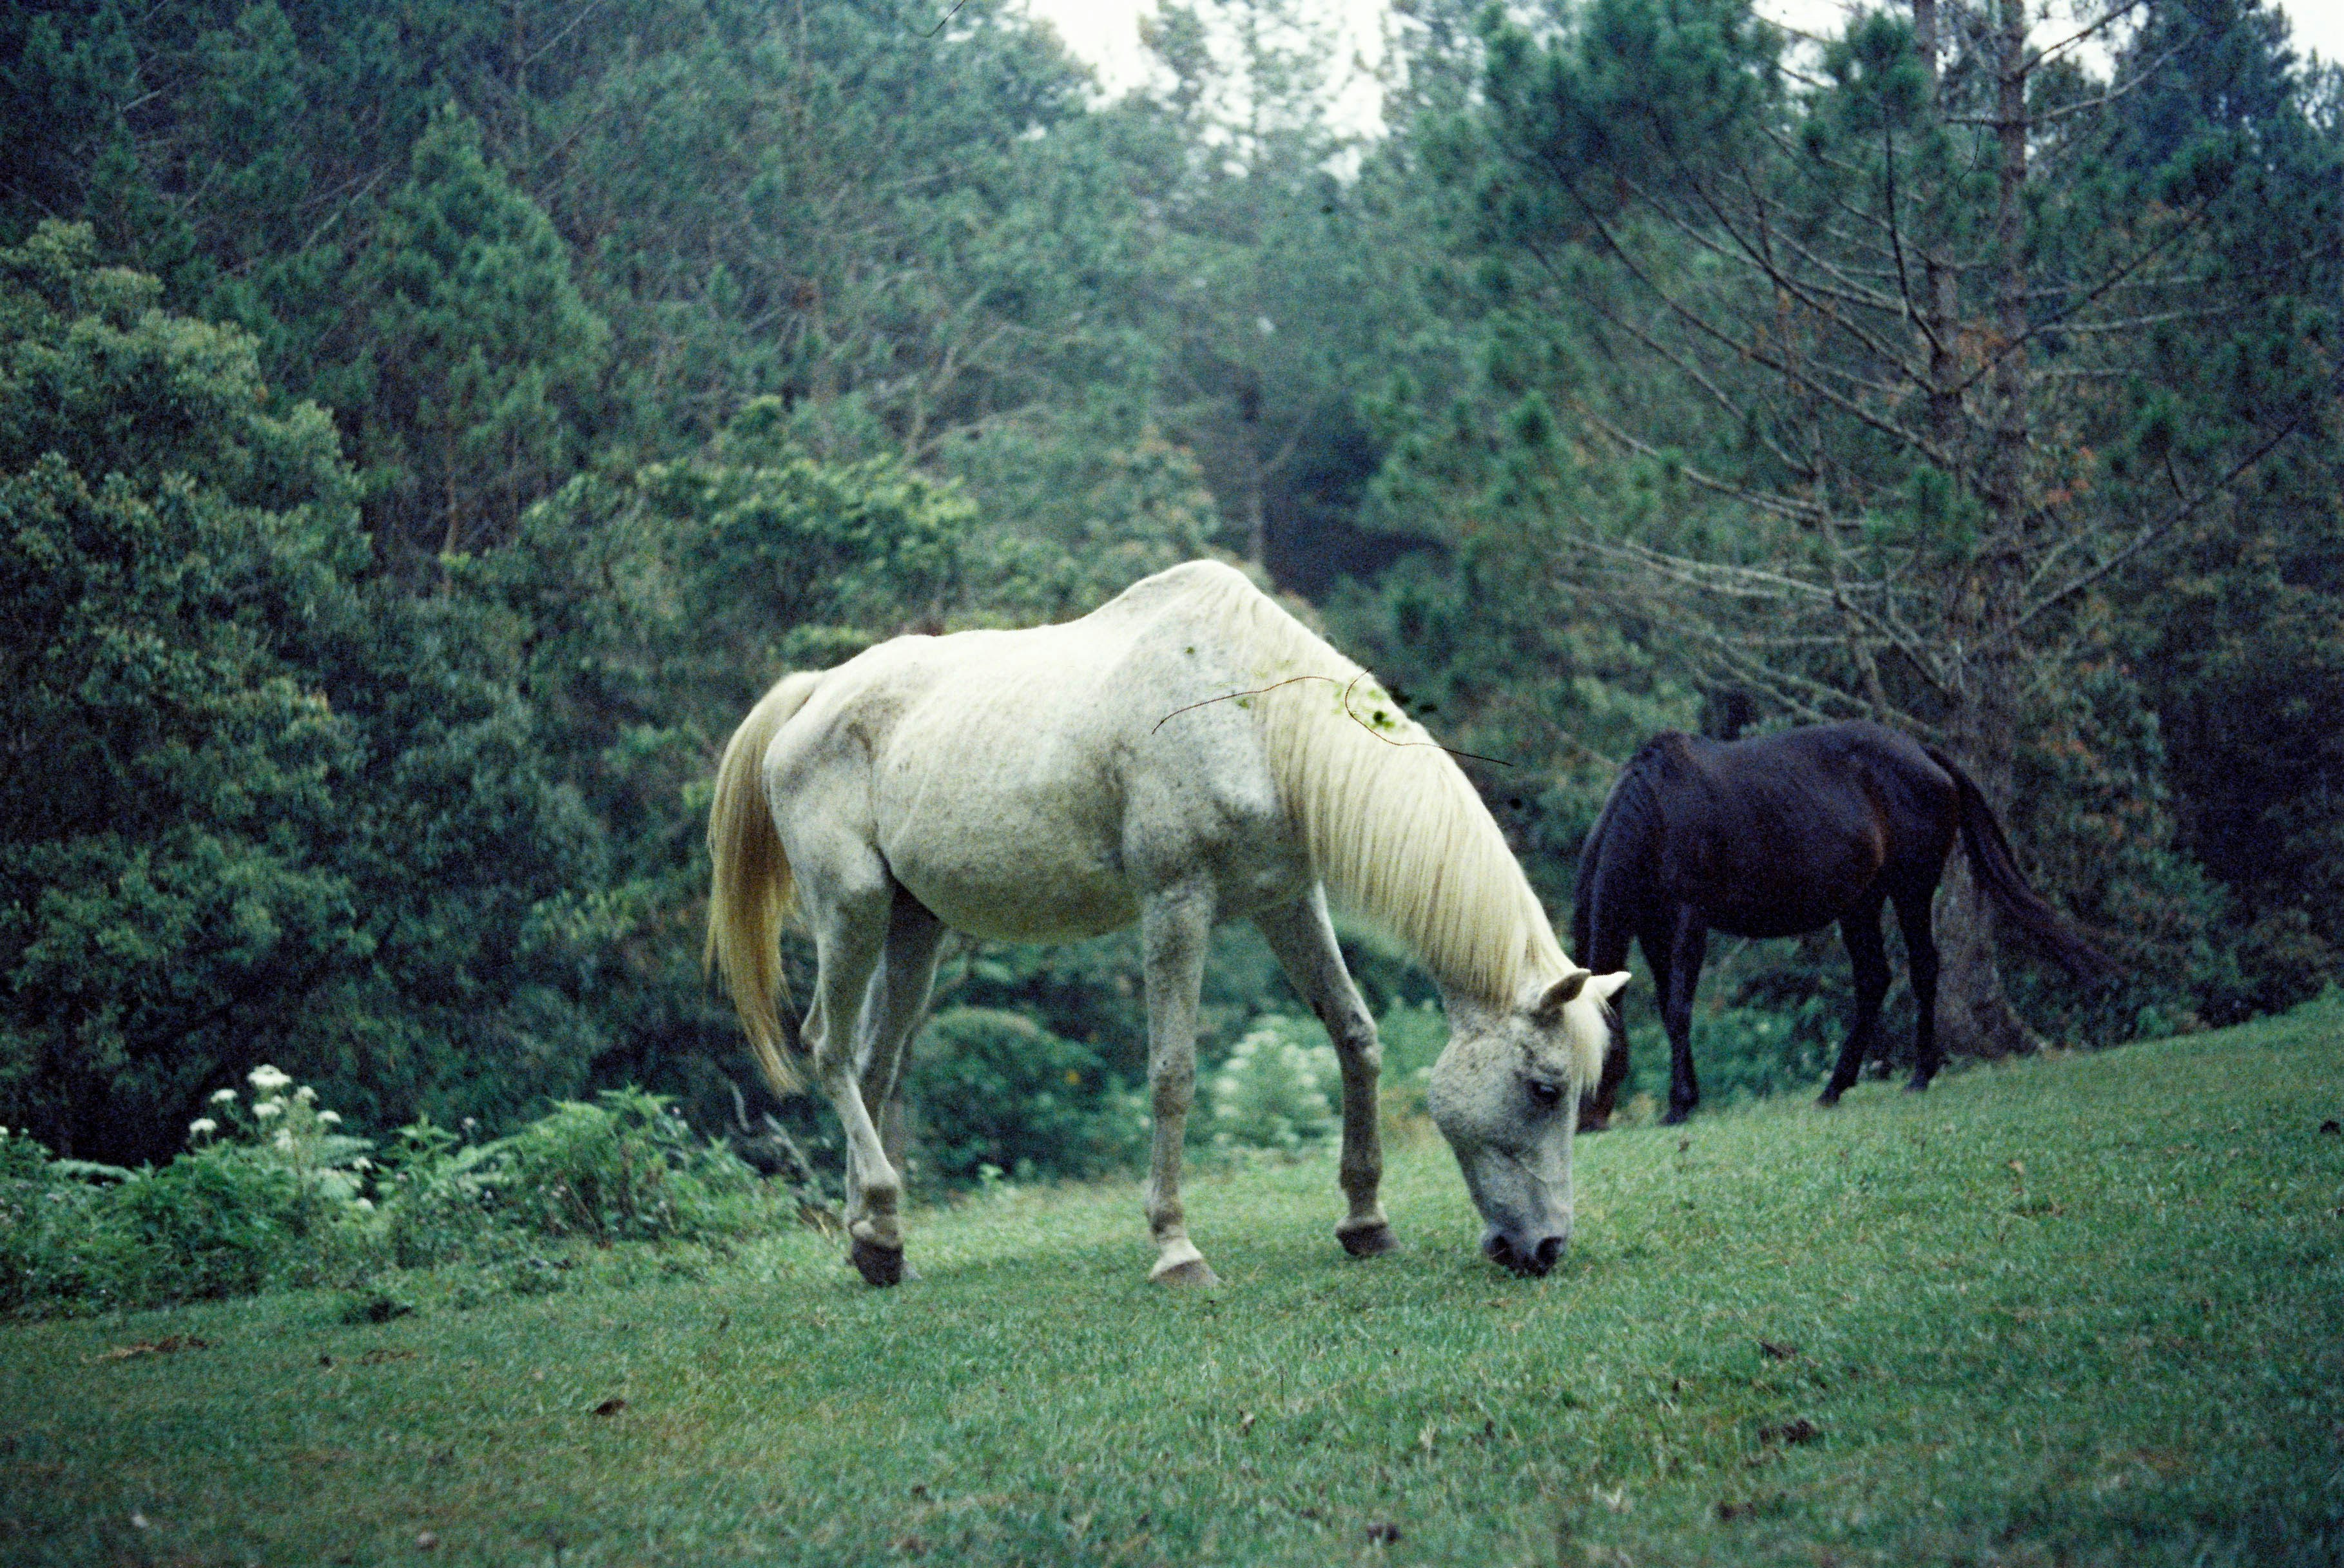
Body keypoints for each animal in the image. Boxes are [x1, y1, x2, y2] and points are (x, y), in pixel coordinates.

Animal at [705, 560, 1629, 1287]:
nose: (1546, 1248)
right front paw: (1176, 1249)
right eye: (1545, 1089)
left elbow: (1356, 1037)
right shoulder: (1176, 904)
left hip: (915, 932)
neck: (1254, 717)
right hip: (852, 911)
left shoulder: (1287, 901)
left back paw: (876, 1239)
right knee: (827, 1049)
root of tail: (814, 693)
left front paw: (1366, 1222)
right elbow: (1172, 1075)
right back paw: (880, 1219)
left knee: (872, 1062)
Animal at [1571, 722, 2109, 1128]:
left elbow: (1679, 1009)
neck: (1657, 811)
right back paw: (1834, 1087)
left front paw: (1678, 1105)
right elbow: (1669, 1007)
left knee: (1923, 968)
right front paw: (1687, 1097)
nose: (1583, 1123)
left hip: (1910, 889)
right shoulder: (1653, 927)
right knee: (1874, 979)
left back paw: (1919, 1076)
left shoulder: (1689, 918)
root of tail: (1922, 752)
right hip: (1860, 904)